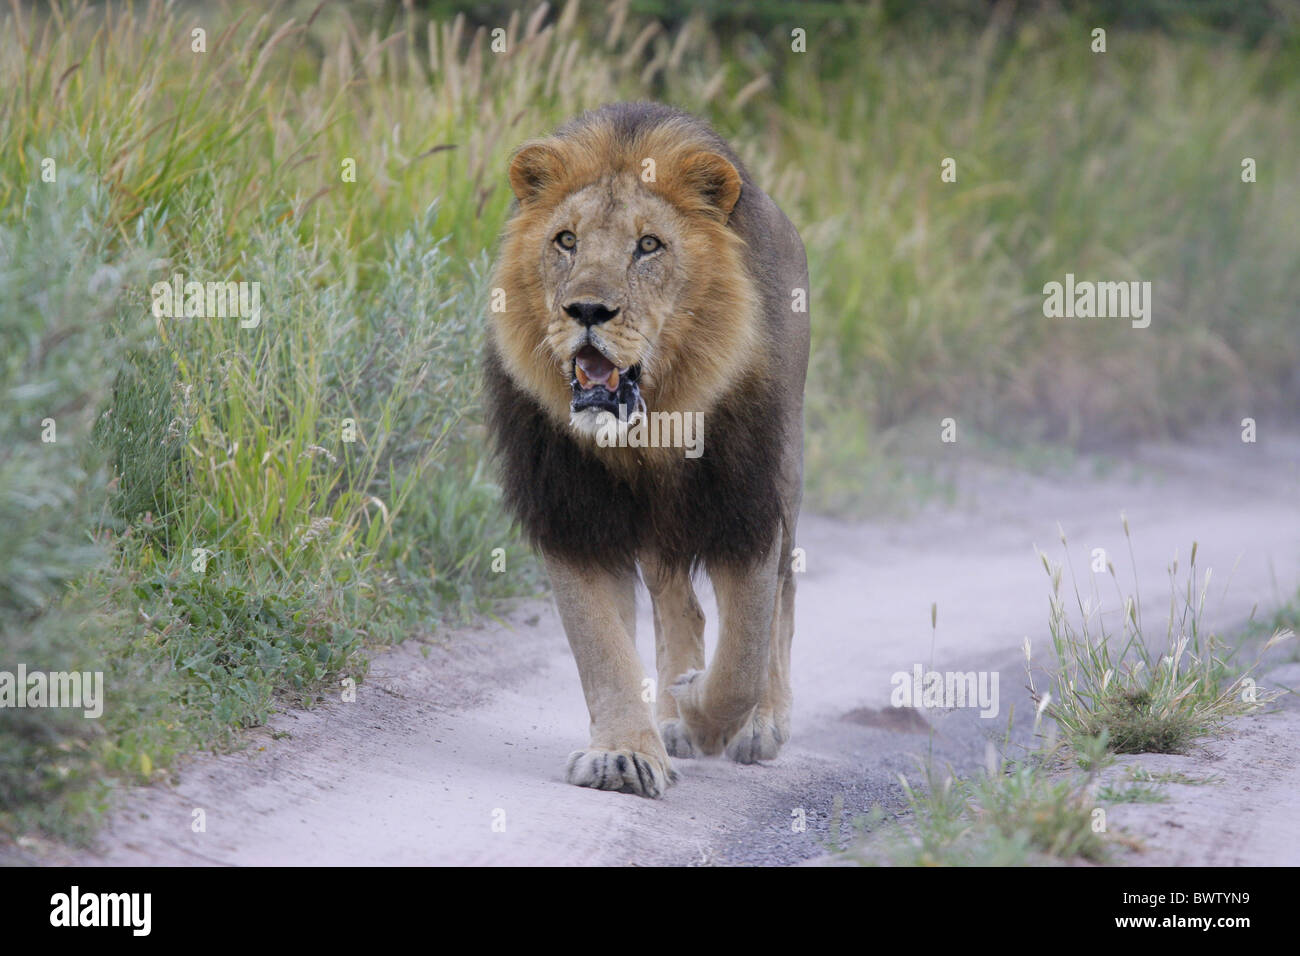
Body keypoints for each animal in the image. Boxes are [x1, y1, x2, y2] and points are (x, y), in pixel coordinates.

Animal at [484, 102, 810, 798]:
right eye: (566, 241)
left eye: (649, 246)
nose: (586, 309)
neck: (649, 427)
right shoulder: (572, 512)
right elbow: (602, 648)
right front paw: (626, 755)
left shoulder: (747, 502)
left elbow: (743, 657)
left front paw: (701, 707)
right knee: (675, 604)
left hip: (787, 470)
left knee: (782, 602)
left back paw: (755, 722)